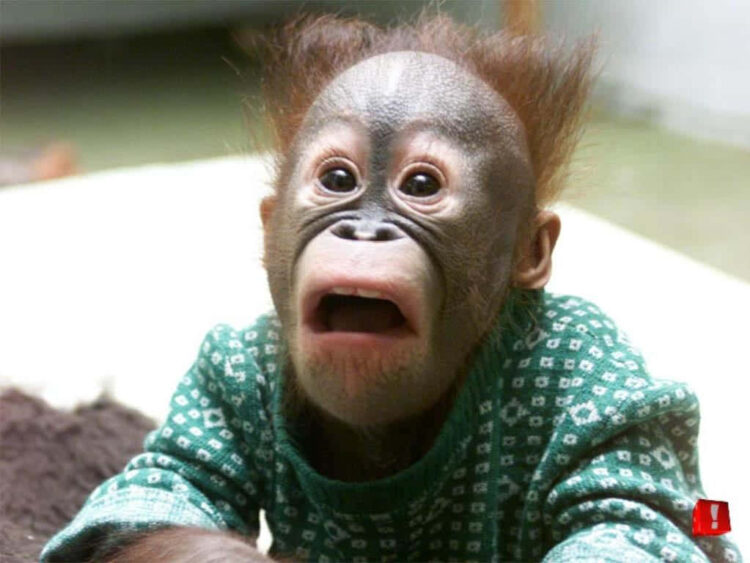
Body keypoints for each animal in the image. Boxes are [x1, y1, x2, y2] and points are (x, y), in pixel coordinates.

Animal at [41, 14, 740, 563]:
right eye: (338, 179)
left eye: (421, 185)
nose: (364, 230)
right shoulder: (224, 372)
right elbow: (162, 490)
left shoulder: (594, 372)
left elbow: (627, 512)